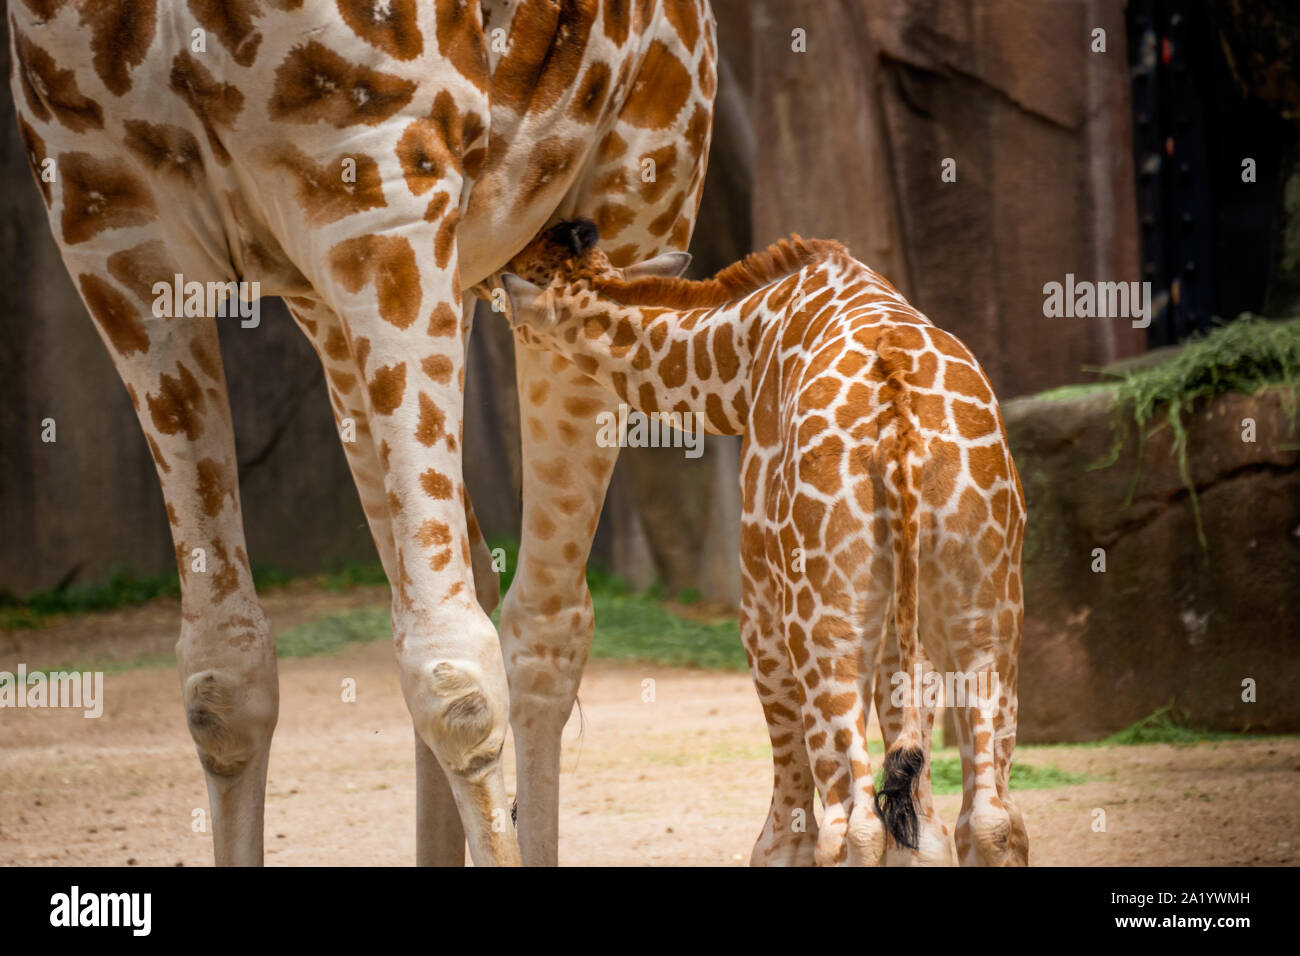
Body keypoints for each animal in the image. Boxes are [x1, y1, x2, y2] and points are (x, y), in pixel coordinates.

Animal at [10, 0, 716, 866]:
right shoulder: (107, 215)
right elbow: (222, 680)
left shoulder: (382, 177)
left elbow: (458, 678)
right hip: (343, 301)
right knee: (458, 584)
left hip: (637, 187)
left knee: (543, 622)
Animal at [493, 219, 1030, 866]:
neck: (741, 349)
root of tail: (900, 429)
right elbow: (922, 825)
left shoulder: (760, 601)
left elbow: (785, 820)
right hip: (983, 609)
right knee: (991, 817)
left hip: (822, 616)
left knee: (854, 822)